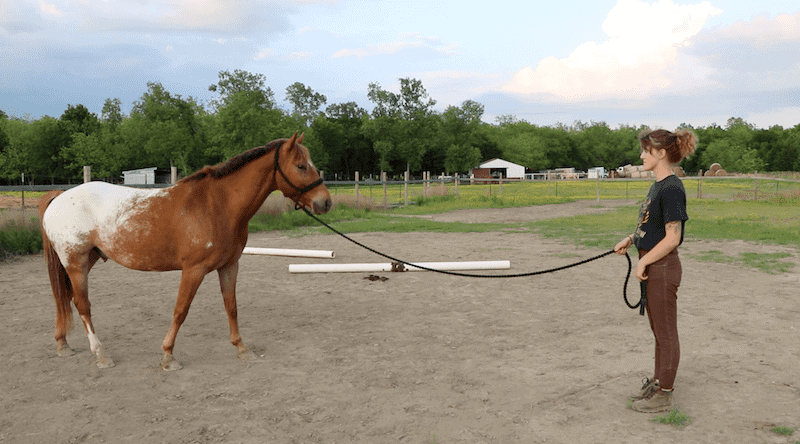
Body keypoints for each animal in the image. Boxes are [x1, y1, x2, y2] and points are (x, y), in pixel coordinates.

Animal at [38, 133, 331, 371]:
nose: (325, 202)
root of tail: (59, 196)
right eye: (301, 165)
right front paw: (168, 356)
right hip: (75, 262)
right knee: (82, 305)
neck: (217, 205)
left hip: (87, 260)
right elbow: (181, 310)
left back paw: (63, 344)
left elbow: (231, 306)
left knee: (64, 300)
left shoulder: (230, 265)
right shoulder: (193, 270)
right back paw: (101, 355)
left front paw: (241, 348)